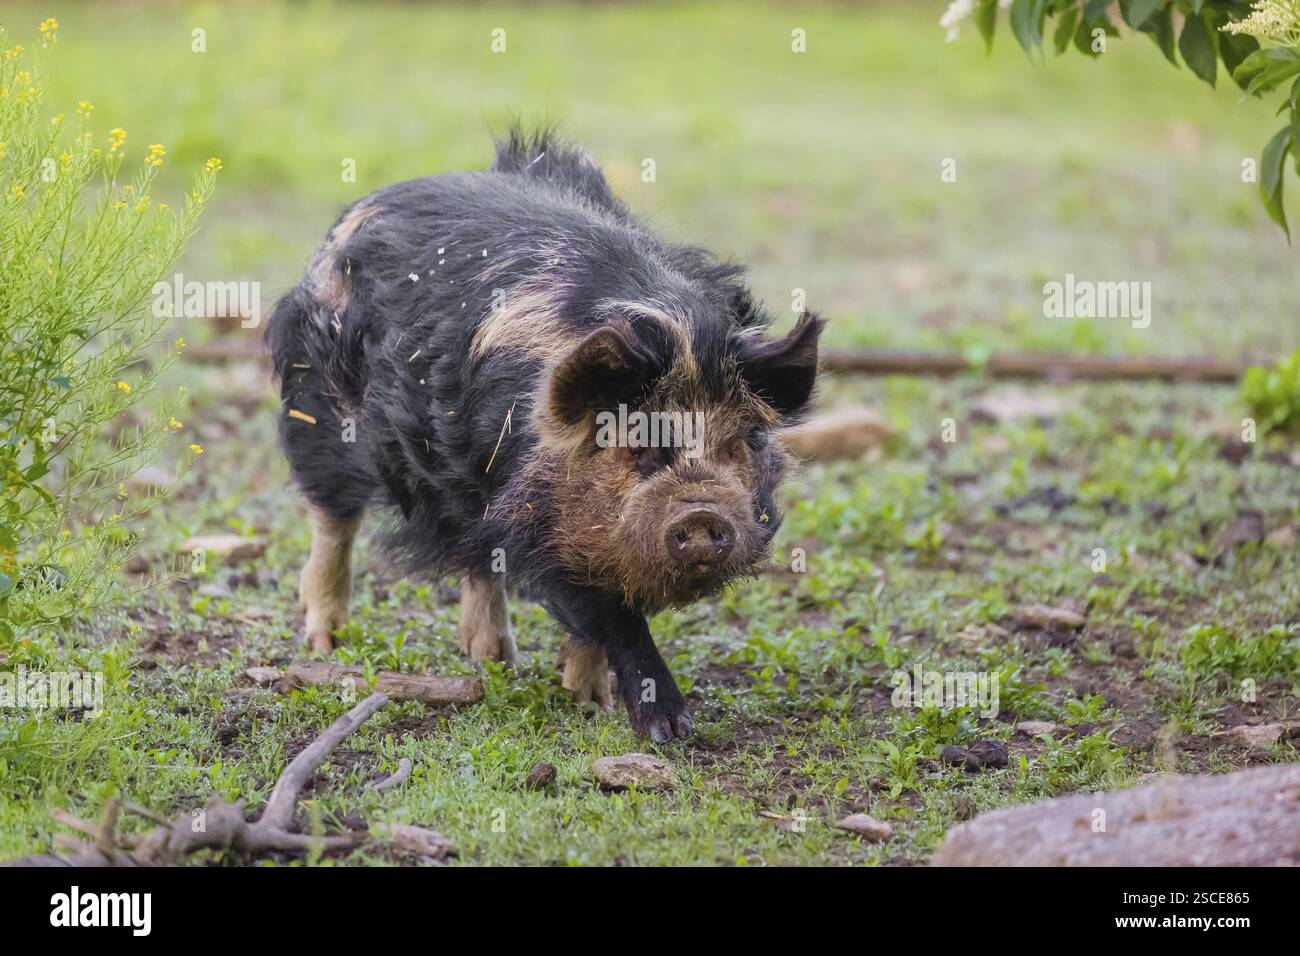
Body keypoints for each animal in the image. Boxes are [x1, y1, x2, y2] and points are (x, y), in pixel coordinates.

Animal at [267, 128, 822, 741]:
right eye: (637, 446)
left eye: (737, 444)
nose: (701, 513)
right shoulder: (539, 518)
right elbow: (610, 615)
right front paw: (667, 729)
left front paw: (589, 701)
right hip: (315, 407)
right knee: (333, 517)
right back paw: (327, 641)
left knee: (473, 552)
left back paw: (492, 659)